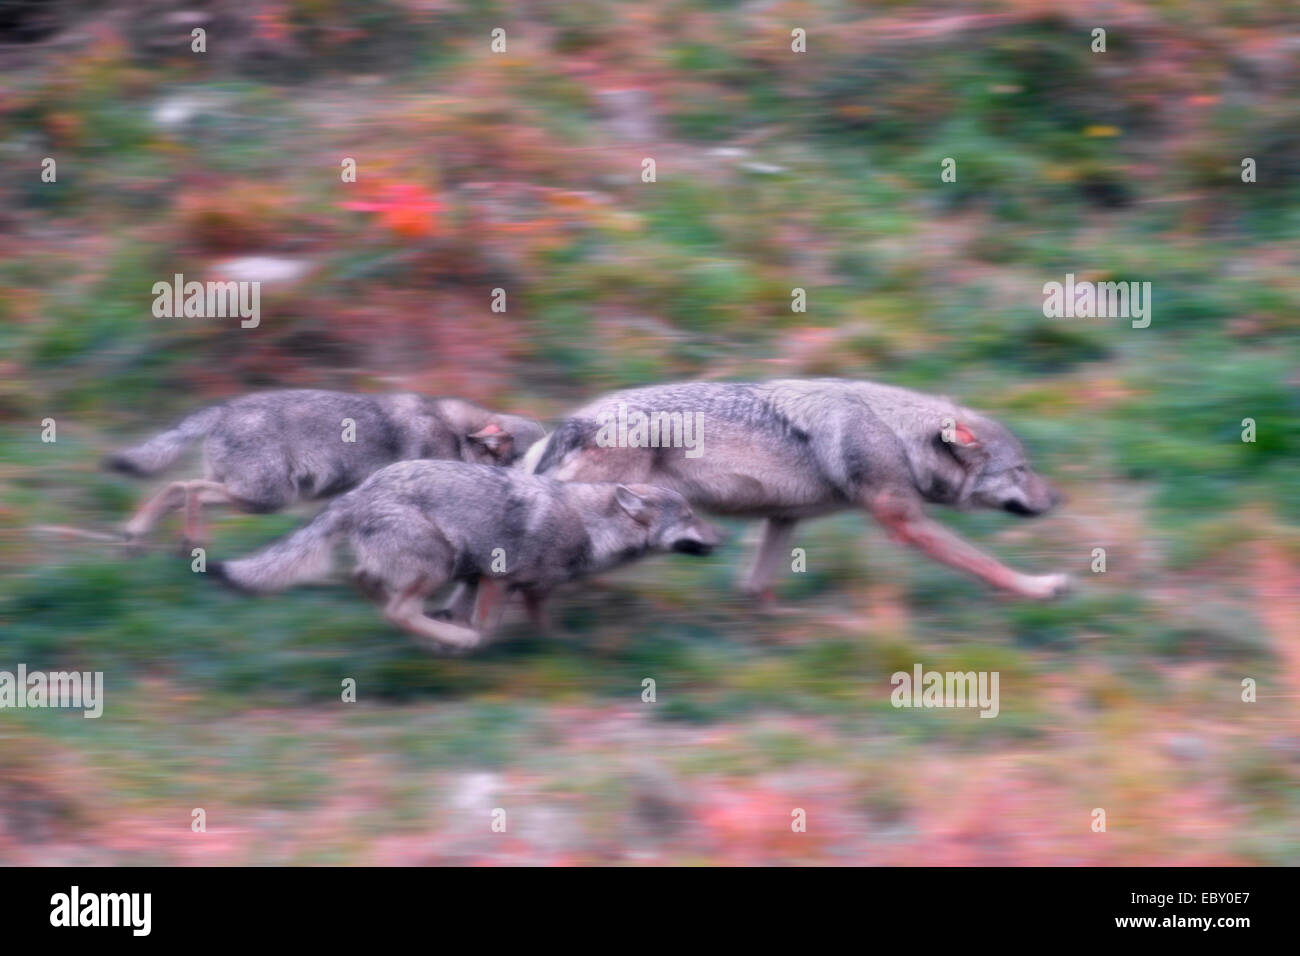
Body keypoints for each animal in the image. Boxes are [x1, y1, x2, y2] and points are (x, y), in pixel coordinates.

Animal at [104, 390, 545, 546]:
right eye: (542, 453)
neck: (456, 437)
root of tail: (224, 408)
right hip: (265, 499)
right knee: (187, 489)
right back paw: (187, 542)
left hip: (253, 498)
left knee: (175, 489)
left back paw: (140, 534)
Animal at [211, 460, 721, 651]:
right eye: (691, 515)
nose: (723, 536)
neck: (590, 525)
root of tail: (360, 491)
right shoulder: (500, 580)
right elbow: (487, 627)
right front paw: (463, 641)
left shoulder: (483, 581)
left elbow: (541, 627)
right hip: (437, 565)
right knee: (398, 609)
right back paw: (450, 638)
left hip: (439, 566)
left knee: (368, 585)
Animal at [523, 378, 1071, 600]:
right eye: (1021, 469)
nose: (1058, 499)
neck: (893, 433)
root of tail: (574, 421)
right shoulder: (906, 521)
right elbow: (988, 565)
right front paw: (1039, 587)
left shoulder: (783, 518)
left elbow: (756, 583)